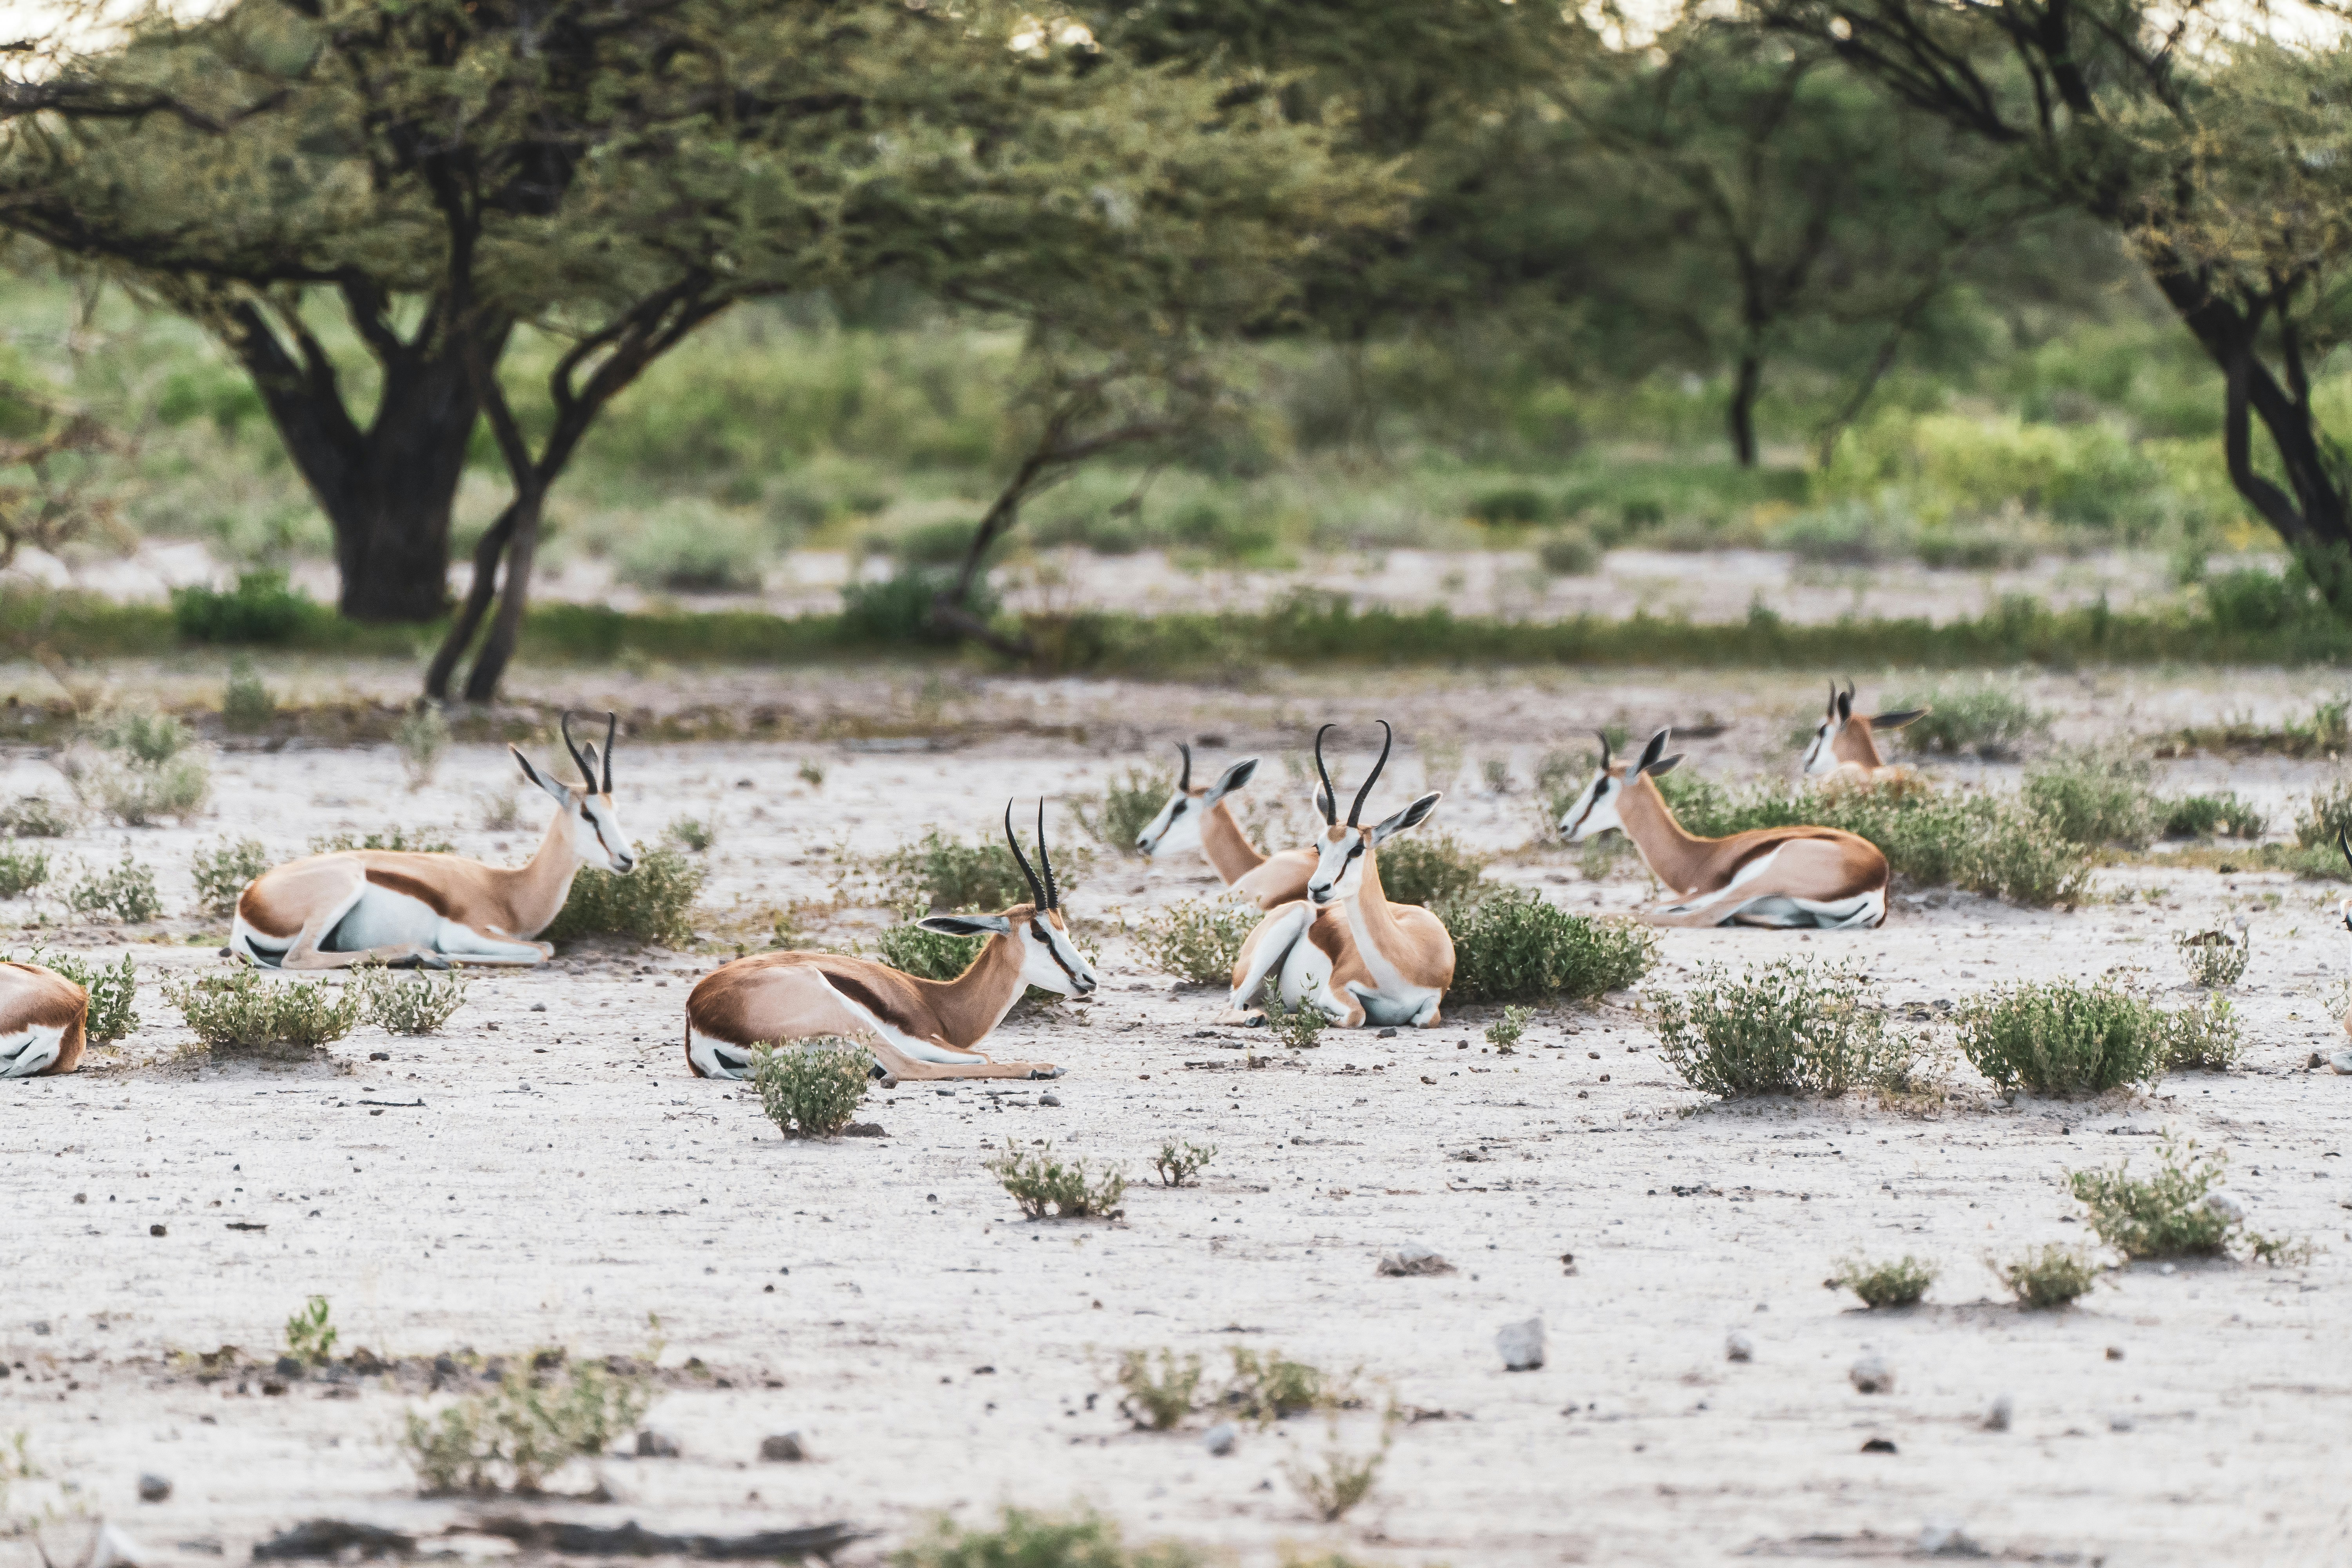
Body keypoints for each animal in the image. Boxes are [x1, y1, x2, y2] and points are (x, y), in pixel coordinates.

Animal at [229, 712, 638, 970]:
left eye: (615, 809)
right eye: (588, 814)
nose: (627, 859)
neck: (509, 890)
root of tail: (249, 899)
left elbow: (545, 946)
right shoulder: (467, 931)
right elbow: (543, 949)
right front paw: (443, 956)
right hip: (344, 885)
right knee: (298, 959)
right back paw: (420, 955)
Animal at [684, 801, 1098, 1084]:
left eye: (1064, 928)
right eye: (1040, 932)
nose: (1089, 980)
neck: (940, 1001)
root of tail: (697, 1017)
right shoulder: (925, 1039)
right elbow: (982, 1058)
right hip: (849, 1017)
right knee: (910, 1067)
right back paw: (1042, 1068)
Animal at [1224, 722, 1455, 1029]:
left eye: (1357, 848)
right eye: (1318, 846)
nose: (1317, 889)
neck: (1409, 957)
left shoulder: (1433, 1003)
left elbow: (1425, 1020)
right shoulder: (1336, 989)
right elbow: (1357, 1015)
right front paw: (1311, 1013)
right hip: (1287, 926)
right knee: (1230, 1009)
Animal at [1560, 727, 1891, 929]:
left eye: (1601, 786)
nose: (1565, 826)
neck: (1699, 855)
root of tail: (1876, 880)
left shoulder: (1704, 891)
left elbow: (1658, 907)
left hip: (1758, 880)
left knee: (1697, 917)